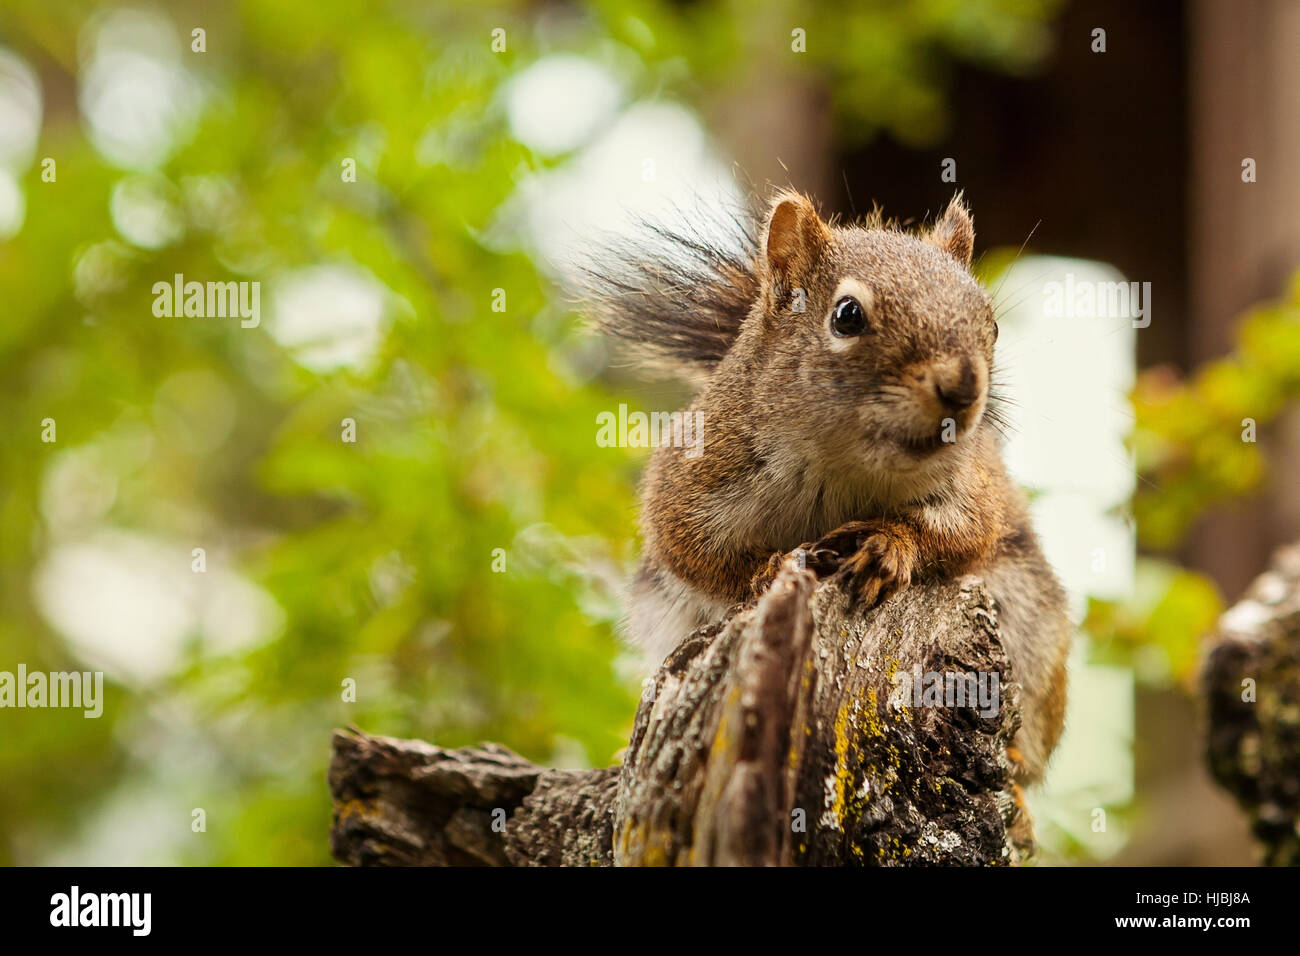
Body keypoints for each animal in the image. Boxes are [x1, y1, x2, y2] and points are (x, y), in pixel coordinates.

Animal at [584, 189, 1071, 784]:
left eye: (992, 324)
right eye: (847, 316)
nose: (963, 388)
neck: (842, 466)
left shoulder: (974, 489)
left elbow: (963, 536)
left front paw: (888, 544)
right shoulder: (691, 477)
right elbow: (693, 553)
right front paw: (769, 570)